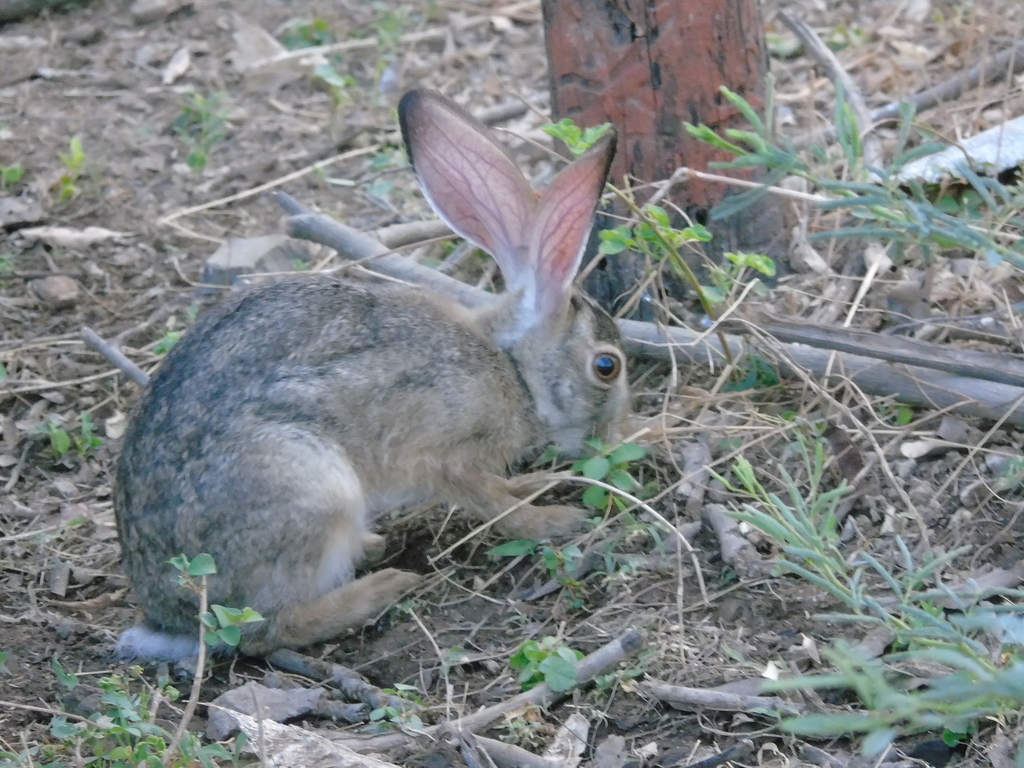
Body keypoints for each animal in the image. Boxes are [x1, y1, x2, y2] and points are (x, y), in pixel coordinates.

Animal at [114, 88, 630, 661]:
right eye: (606, 366)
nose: (617, 435)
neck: (512, 366)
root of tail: (169, 615)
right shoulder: (446, 455)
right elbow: (491, 502)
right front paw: (556, 521)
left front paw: (538, 483)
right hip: (314, 491)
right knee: (268, 628)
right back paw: (382, 587)